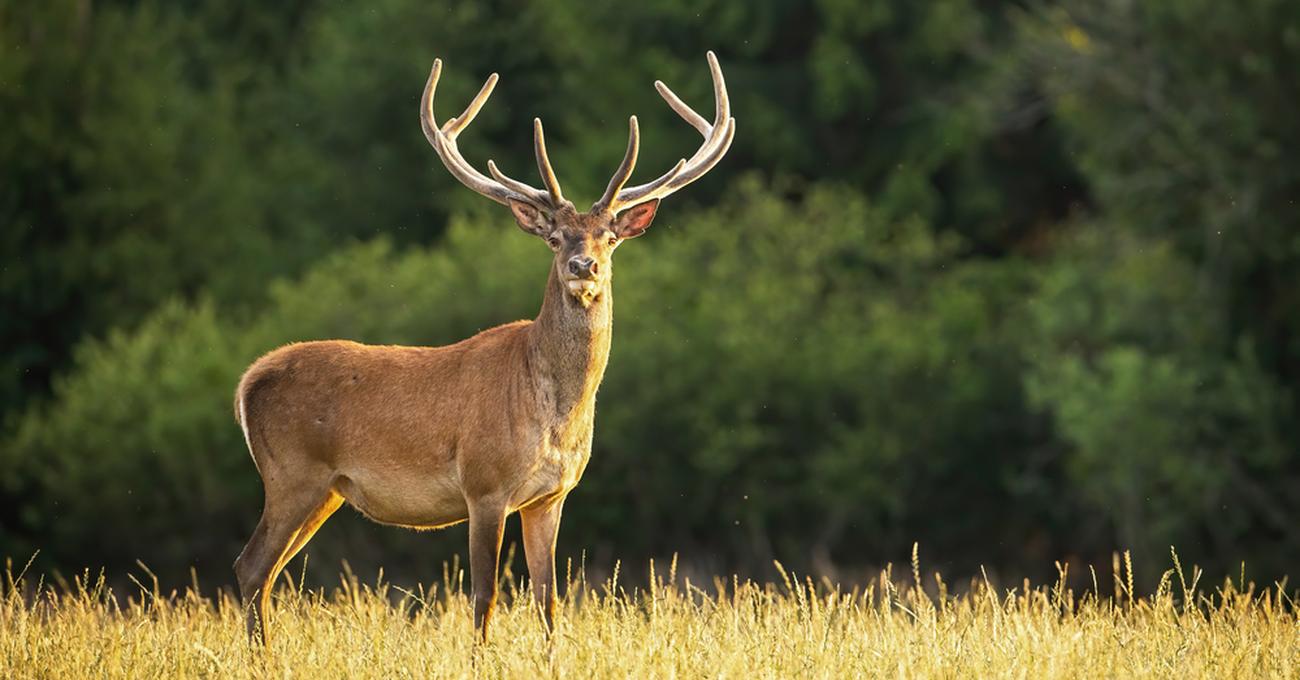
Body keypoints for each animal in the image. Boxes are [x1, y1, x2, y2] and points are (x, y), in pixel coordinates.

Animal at [232, 52, 734, 645]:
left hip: (326, 489)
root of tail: (247, 382)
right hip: (292, 474)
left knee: (264, 572)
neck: (553, 413)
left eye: (609, 237)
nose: (583, 266)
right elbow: (484, 596)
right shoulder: (484, 484)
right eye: (555, 237)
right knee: (250, 565)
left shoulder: (551, 496)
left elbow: (549, 600)